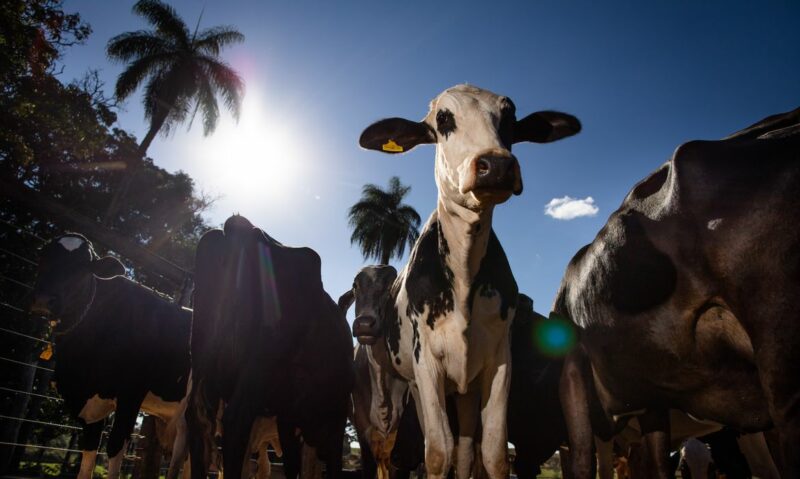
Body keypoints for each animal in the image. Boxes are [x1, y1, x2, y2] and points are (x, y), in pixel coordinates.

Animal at [30, 233, 190, 479]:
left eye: (83, 266)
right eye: (43, 257)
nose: (43, 300)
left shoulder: (131, 393)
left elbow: (115, 446)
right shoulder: (88, 405)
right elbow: (88, 454)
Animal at [186, 214, 354, 479]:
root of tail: (240, 227)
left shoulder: (287, 416)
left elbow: (292, 465)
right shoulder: (334, 415)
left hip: (204, 356)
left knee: (199, 421)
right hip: (260, 363)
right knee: (236, 419)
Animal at [356, 84, 580, 479]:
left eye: (510, 118)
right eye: (444, 118)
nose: (497, 164)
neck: (463, 275)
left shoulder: (498, 363)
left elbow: (491, 454)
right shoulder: (427, 365)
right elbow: (436, 453)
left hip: (466, 390)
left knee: (464, 451)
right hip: (412, 386)